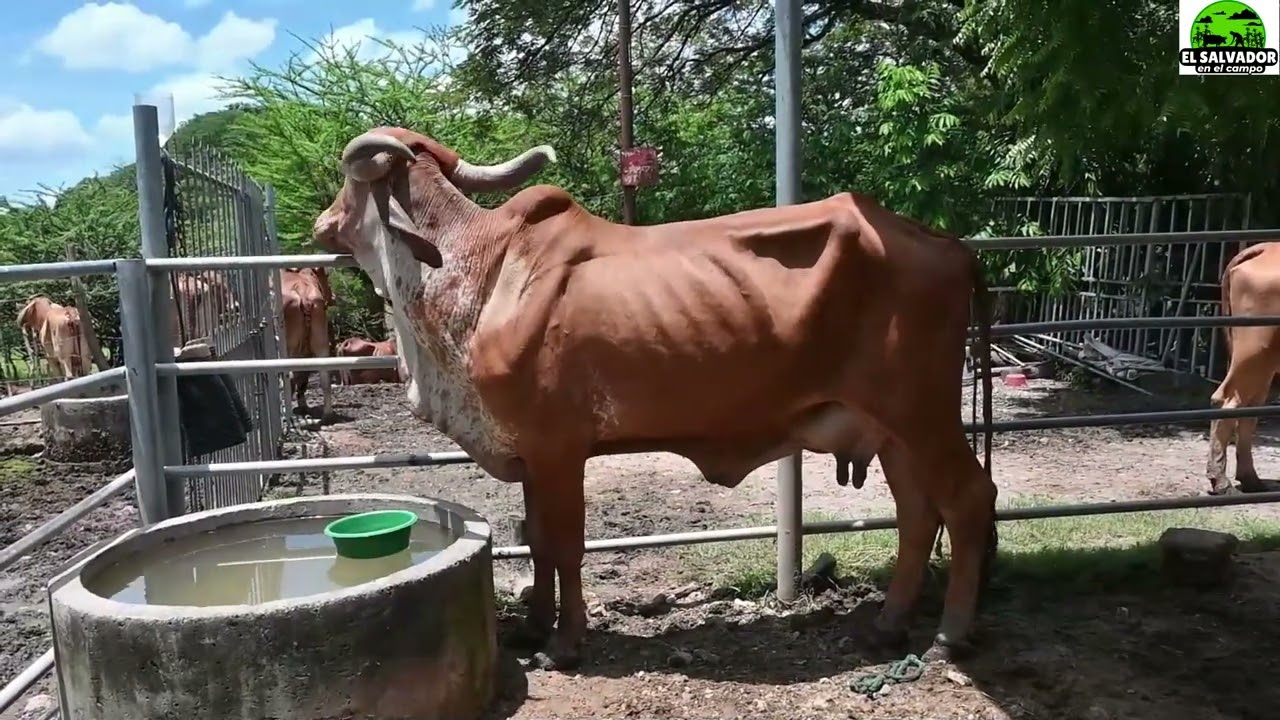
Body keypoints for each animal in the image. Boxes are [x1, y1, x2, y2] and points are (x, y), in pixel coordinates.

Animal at [279, 267, 334, 421]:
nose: (333, 296)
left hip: (288, 347)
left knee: (289, 376)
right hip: (320, 342)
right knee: (324, 375)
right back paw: (327, 415)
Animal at [312, 127, 997, 671]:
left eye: (348, 179)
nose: (320, 225)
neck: (475, 275)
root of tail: (951, 246)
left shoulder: (558, 448)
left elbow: (565, 544)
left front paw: (564, 643)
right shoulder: (528, 452)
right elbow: (536, 540)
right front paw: (532, 628)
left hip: (923, 415)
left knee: (968, 499)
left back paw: (948, 637)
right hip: (890, 431)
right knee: (918, 514)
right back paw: (887, 627)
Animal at [1206, 242, 1280, 495]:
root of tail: (1267, 247)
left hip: (1264, 365)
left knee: (1247, 410)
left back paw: (1251, 480)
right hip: (1253, 351)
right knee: (1228, 401)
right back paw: (1221, 481)